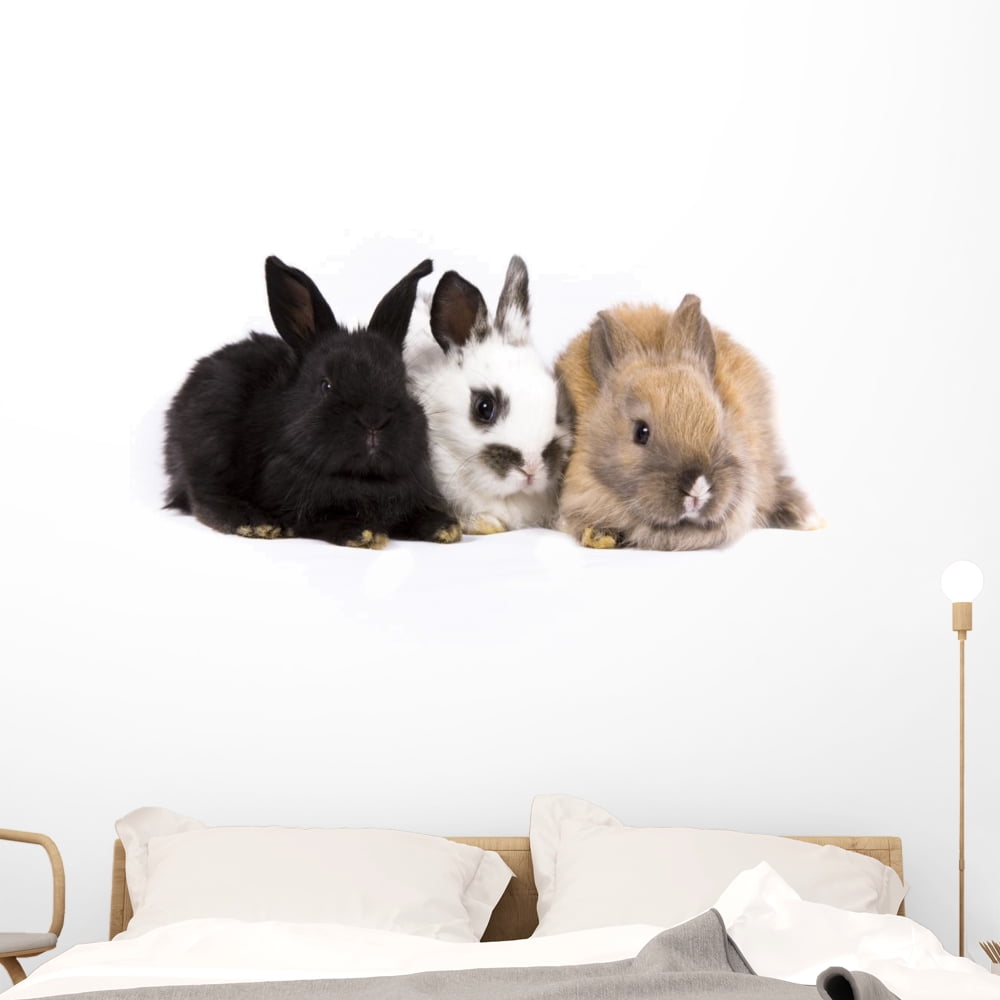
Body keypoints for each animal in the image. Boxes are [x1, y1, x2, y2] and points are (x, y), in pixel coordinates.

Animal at [163, 256, 461, 549]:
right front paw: (362, 532)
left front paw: (446, 527)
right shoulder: (295, 502)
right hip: (209, 444)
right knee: (204, 497)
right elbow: (320, 519)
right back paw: (255, 522)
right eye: (326, 385)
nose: (374, 420)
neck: (361, 478)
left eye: (403, 381)